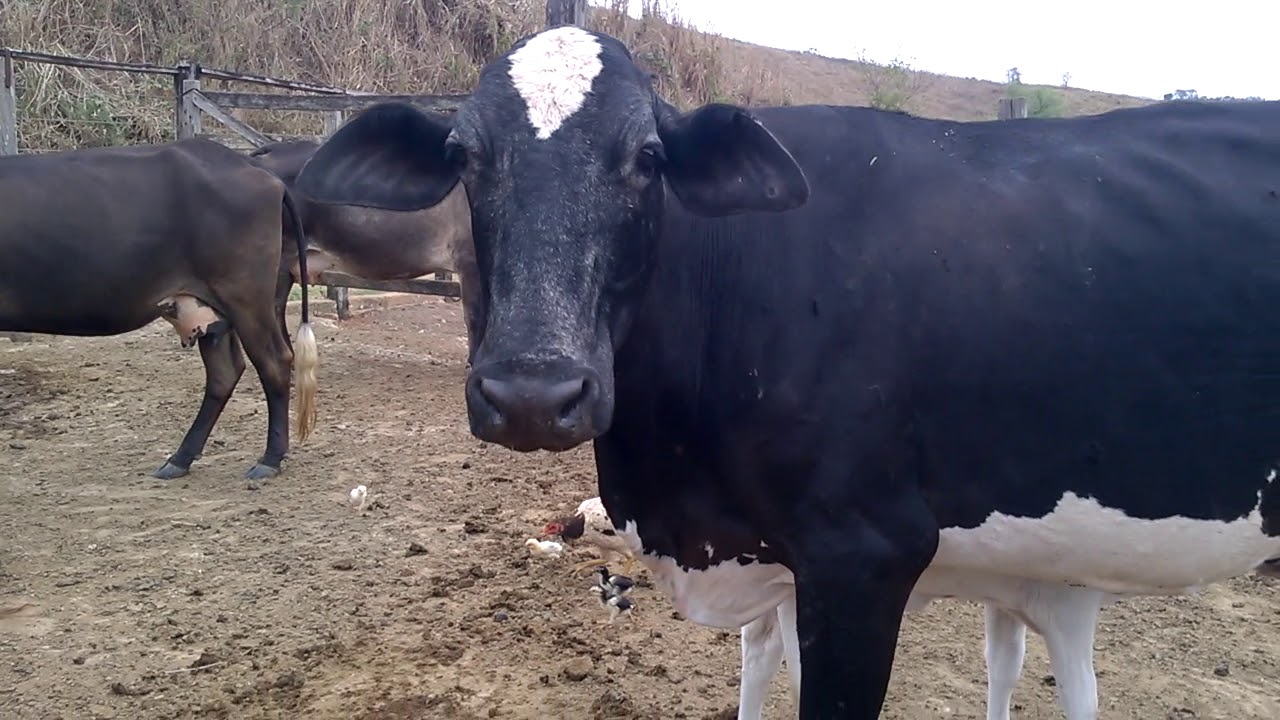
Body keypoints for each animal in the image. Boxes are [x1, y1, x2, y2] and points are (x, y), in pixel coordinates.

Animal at [0, 138, 319, 480]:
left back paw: (269, 458)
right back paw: (180, 458)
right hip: (212, 310)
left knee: (274, 362)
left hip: (245, 297)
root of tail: (249, 165)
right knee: (225, 372)